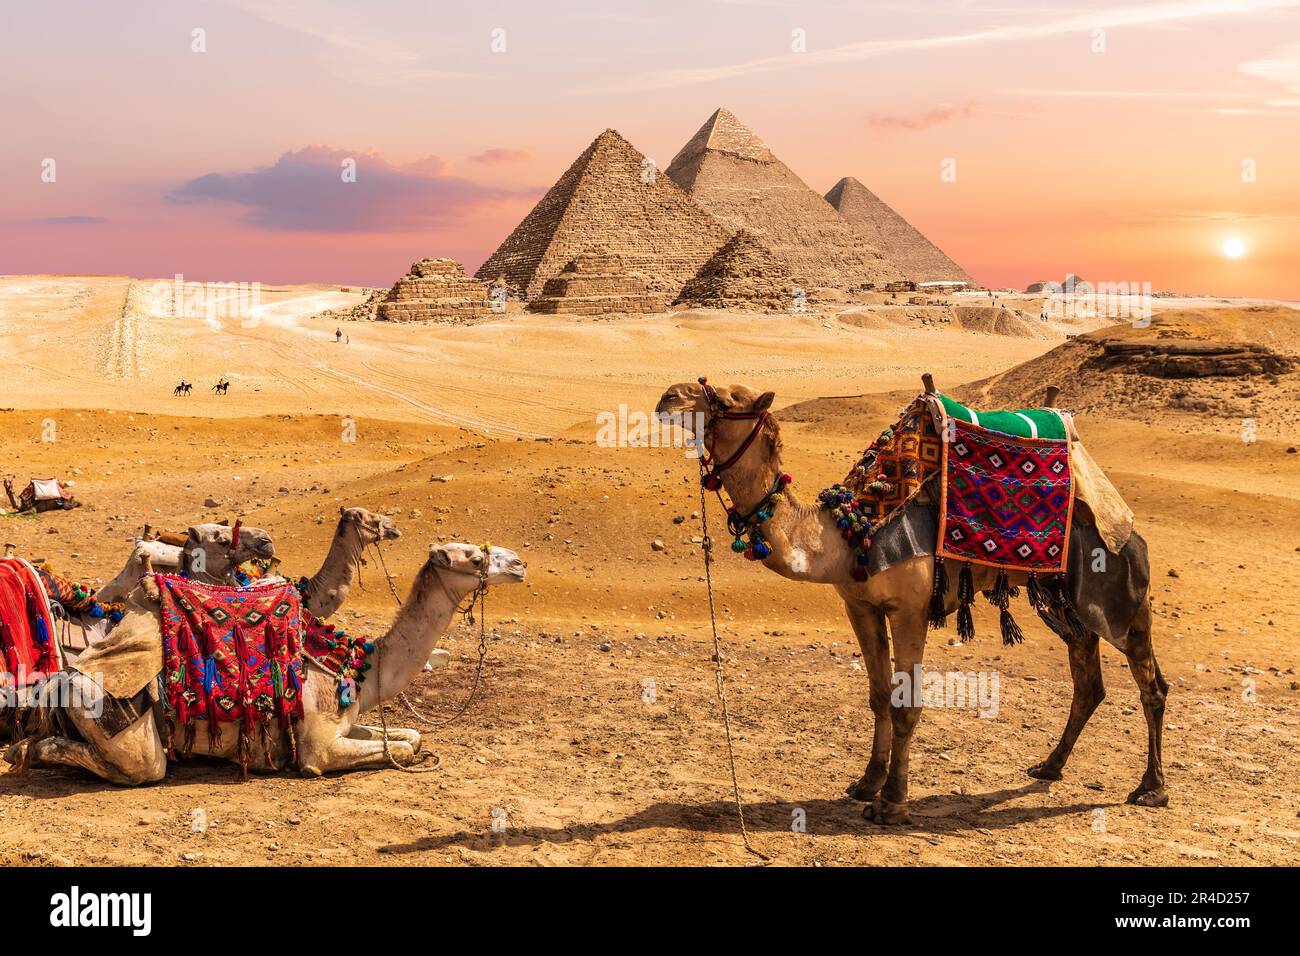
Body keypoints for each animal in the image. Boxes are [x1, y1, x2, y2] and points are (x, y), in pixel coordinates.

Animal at [7, 542, 525, 784]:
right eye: (472, 555)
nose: (519, 564)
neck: (361, 670)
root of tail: (63, 678)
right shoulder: (318, 746)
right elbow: (393, 748)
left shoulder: (345, 720)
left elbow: (411, 738)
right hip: (119, 719)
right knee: (139, 765)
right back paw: (26, 752)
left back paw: (25, 750)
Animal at [655, 379, 1166, 825]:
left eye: (726, 399)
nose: (668, 397)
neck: (847, 534)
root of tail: (1127, 522)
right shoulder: (860, 606)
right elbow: (880, 696)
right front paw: (866, 784)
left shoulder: (911, 611)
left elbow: (907, 705)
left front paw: (892, 803)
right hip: (1066, 605)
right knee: (1088, 681)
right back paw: (1049, 766)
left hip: (1119, 591)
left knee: (1150, 684)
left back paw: (1151, 788)